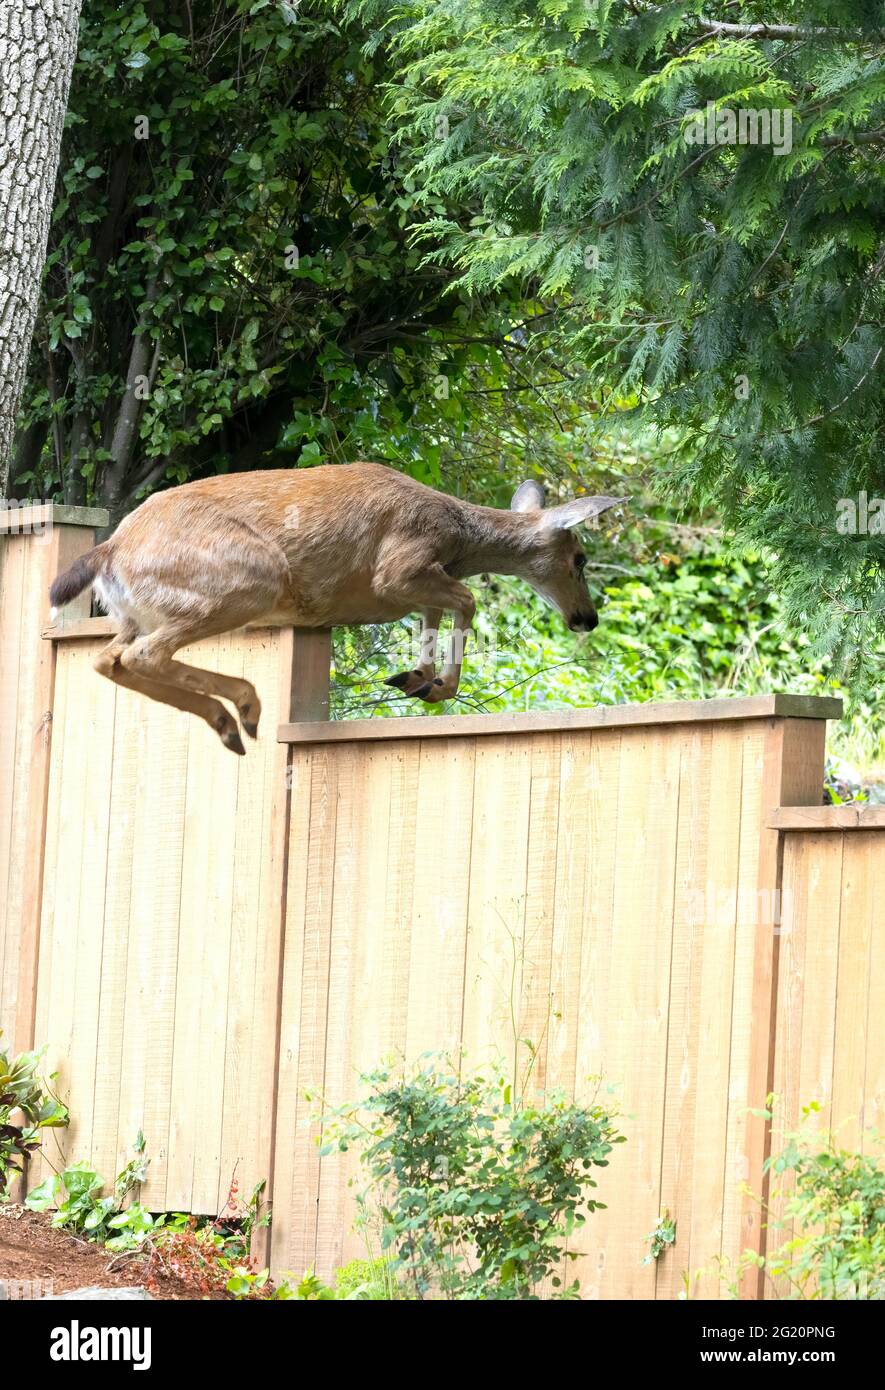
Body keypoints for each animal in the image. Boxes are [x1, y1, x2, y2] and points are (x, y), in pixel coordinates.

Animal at [49, 462, 624, 754]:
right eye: (580, 558)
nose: (586, 618)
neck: (456, 538)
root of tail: (109, 550)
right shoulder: (397, 567)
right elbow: (467, 599)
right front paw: (438, 685)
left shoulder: (413, 581)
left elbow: (436, 613)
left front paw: (417, 679)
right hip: (249, 578)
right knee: (144, 654)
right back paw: (245, 710)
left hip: (132, 614)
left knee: (107, 658)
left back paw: (230, 725)